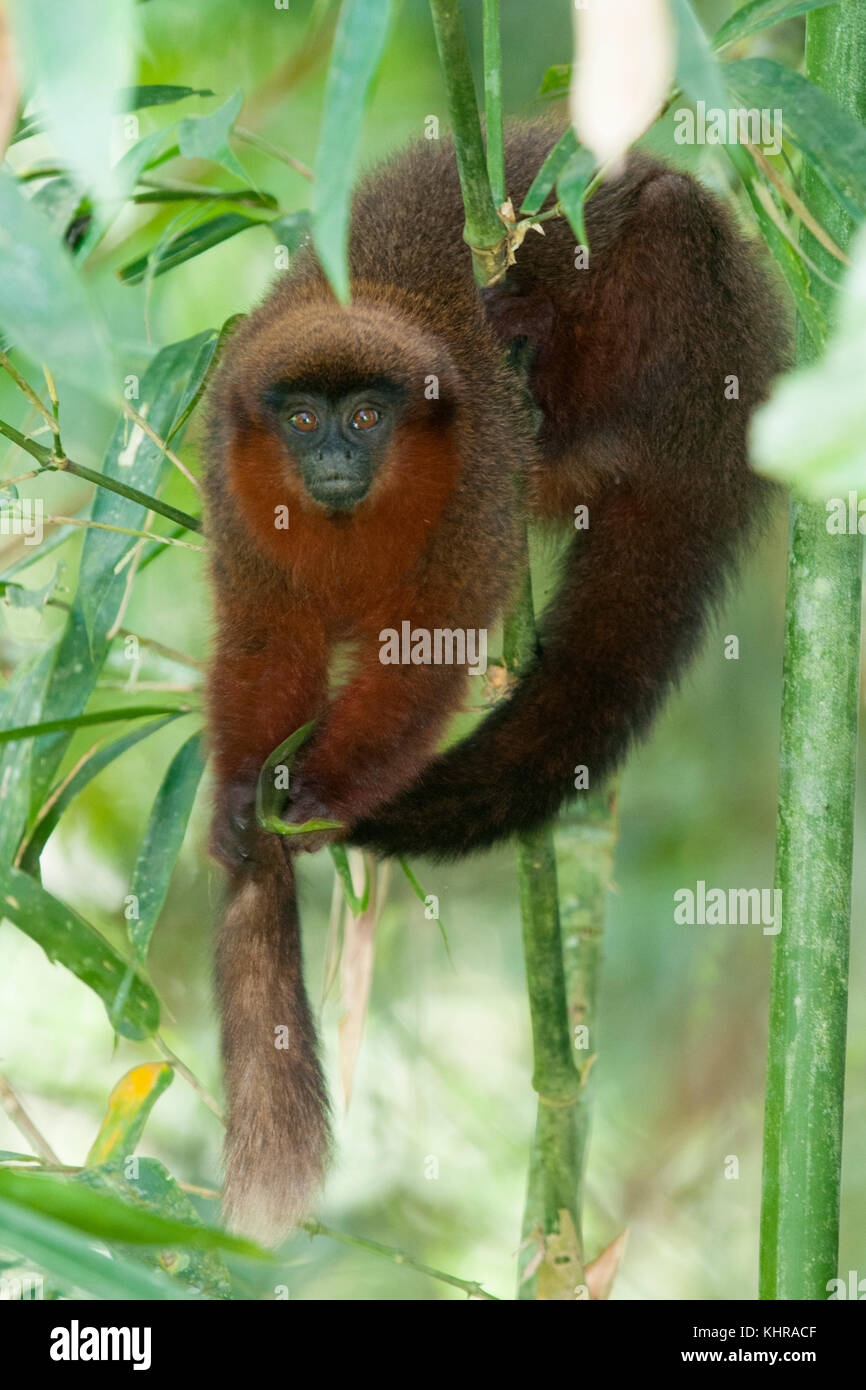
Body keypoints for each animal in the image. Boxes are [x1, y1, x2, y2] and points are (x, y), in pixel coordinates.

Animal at [205, 119, 787, 1244]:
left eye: (367, 417)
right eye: (302, 422)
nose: (336, 456)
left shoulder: (471, 465)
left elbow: (423, 654)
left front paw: (317, 795)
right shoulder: (231, 473)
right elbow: (263, 642)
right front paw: (240, 805)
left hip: (699, 347)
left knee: (659, 220)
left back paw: (542, 373)